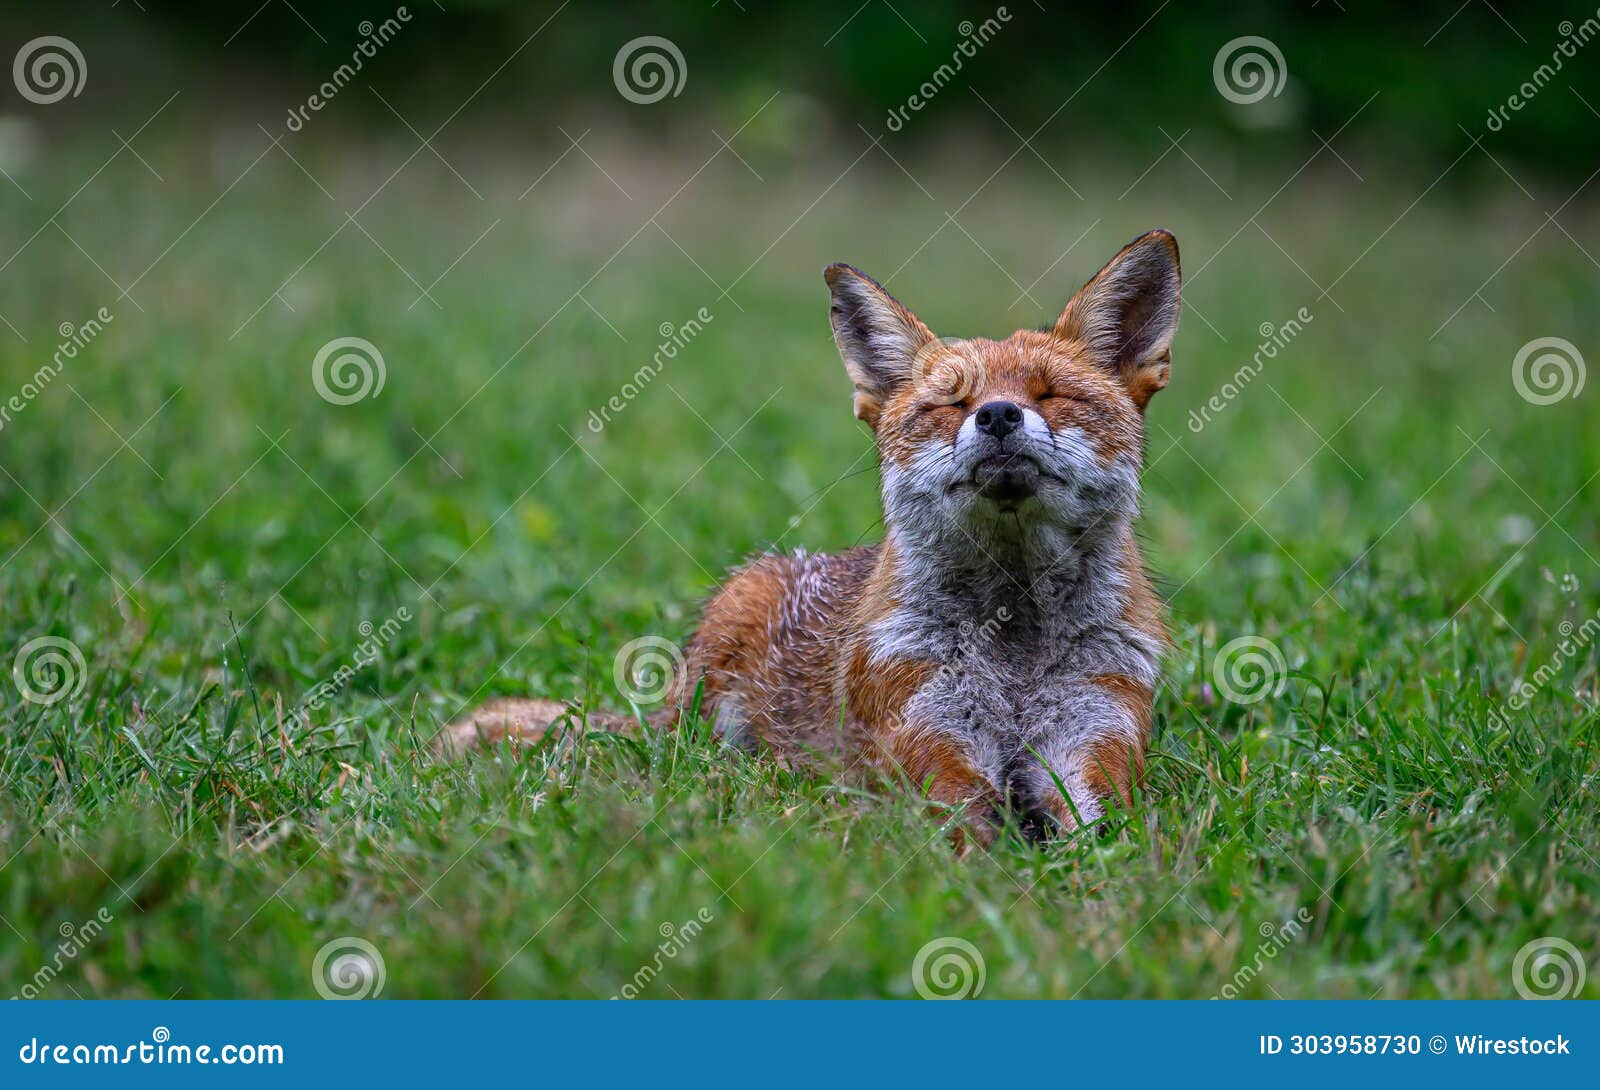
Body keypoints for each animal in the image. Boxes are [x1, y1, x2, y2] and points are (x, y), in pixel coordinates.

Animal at [440, 229, 1182, 846]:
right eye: (951, 404)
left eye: (1052, 394)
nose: (998, 415)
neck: (1015, 647)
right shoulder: (928, 738)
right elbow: (968, 830)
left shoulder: (1092, 739)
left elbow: (1108, 837)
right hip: (723, 659)